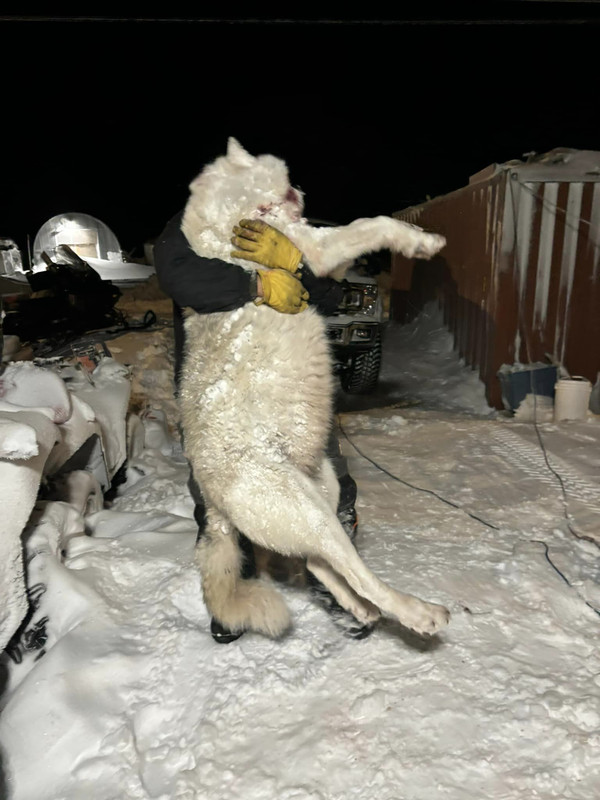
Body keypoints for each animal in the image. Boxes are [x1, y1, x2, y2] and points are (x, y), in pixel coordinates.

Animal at [179, 137, 450, 639]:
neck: (232, 212)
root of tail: (214, 506)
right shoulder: (317, 247)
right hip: (311, 514)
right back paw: (417, 612)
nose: (301, 190)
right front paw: (422, 241)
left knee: (322, 565)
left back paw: (362, 611)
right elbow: (373, 223)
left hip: (324, 490)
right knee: (350, 570)